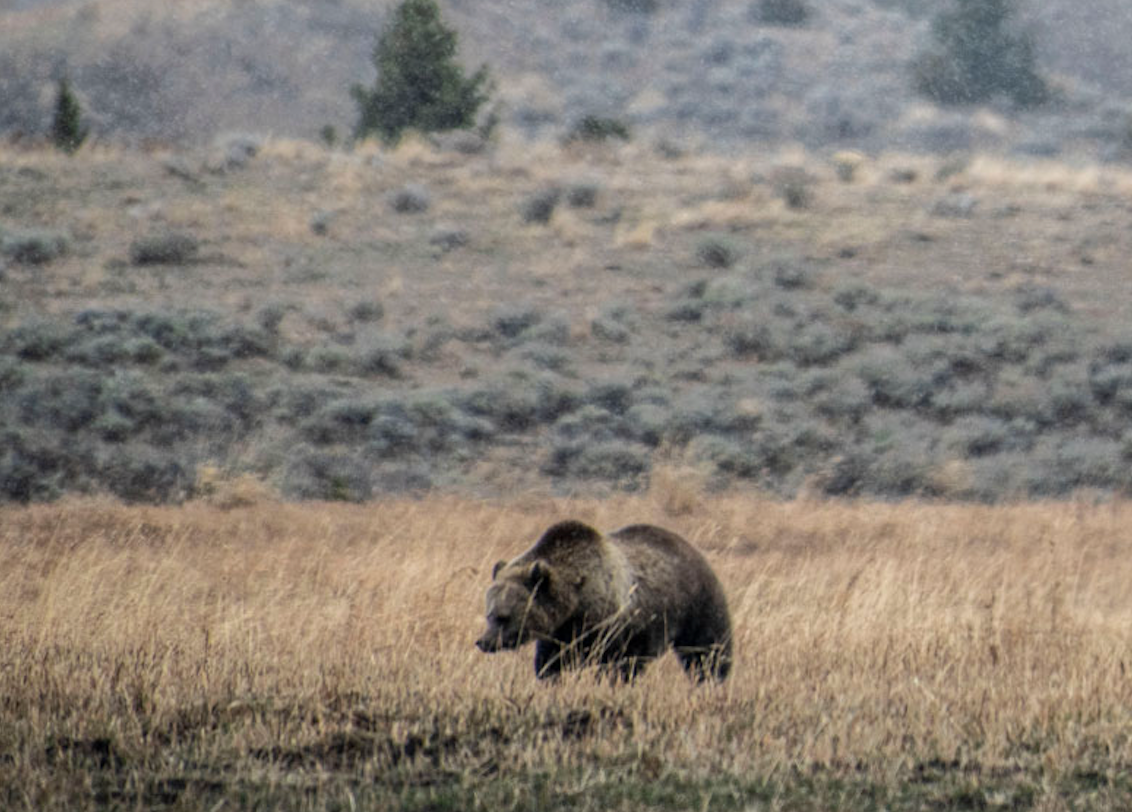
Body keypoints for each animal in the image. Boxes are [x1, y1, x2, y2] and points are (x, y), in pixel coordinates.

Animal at [475, 520, 732, 681]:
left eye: (504, 616)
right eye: (489, 614)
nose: (484, 642)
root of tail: (690, 547)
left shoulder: (613, 629)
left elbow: (617, 664)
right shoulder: (561, 634)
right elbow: (550, 663)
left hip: (697, 604)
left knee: (708, 651)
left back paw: (712, 678)